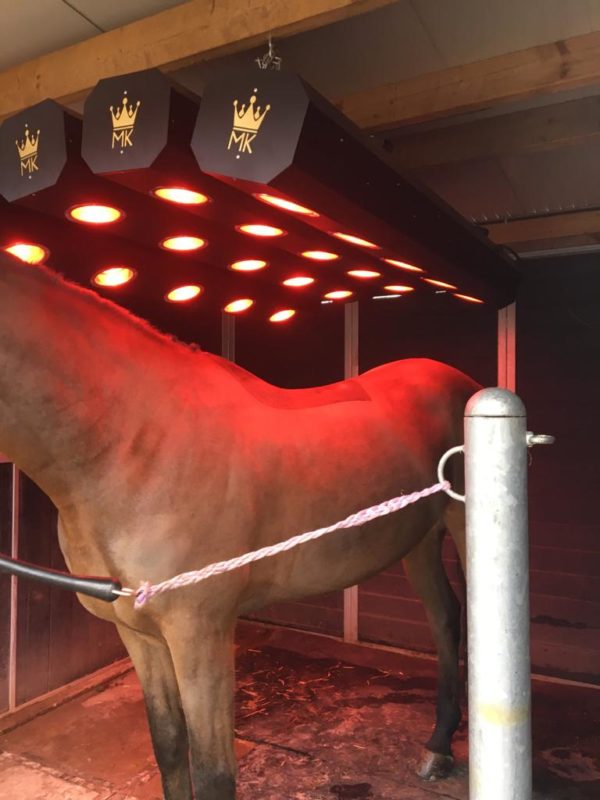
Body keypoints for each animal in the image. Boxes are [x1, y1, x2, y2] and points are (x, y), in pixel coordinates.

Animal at [0, 250, 477, 799]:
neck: (134, 445)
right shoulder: (140, 636)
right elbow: (168, 746)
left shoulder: (201, 636)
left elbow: (213, 774)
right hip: (418, 541)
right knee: (444, 619)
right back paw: (438, 745)